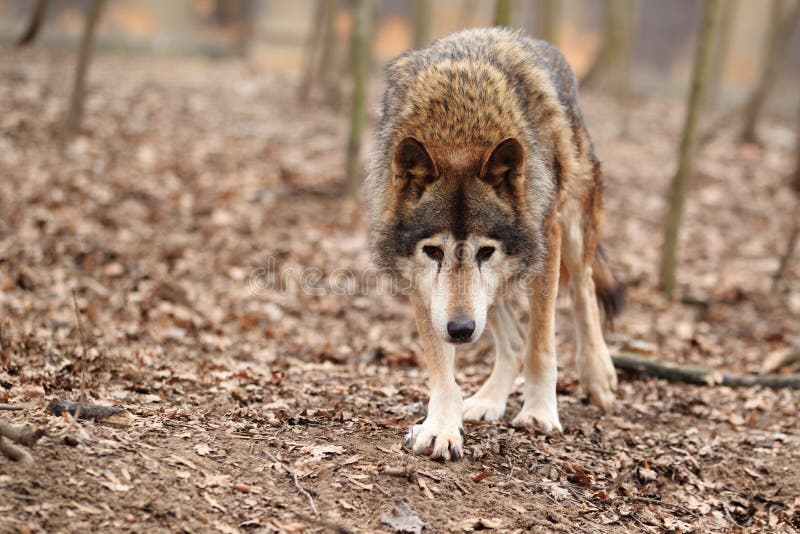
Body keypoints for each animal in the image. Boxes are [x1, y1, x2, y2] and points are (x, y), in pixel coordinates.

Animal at [366, 28, 623, 461]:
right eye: (433, 252)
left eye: (485, 251)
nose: (461, 330)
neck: (459, 133)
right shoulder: (421, 283)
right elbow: (441, 366)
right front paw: (441, 427)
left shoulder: (546, 242)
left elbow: (541, 345)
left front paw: (539, 412)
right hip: (493, 290)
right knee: (513, 339)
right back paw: (487, 402)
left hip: (569, 227)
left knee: (583, 290)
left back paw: (598, 375)